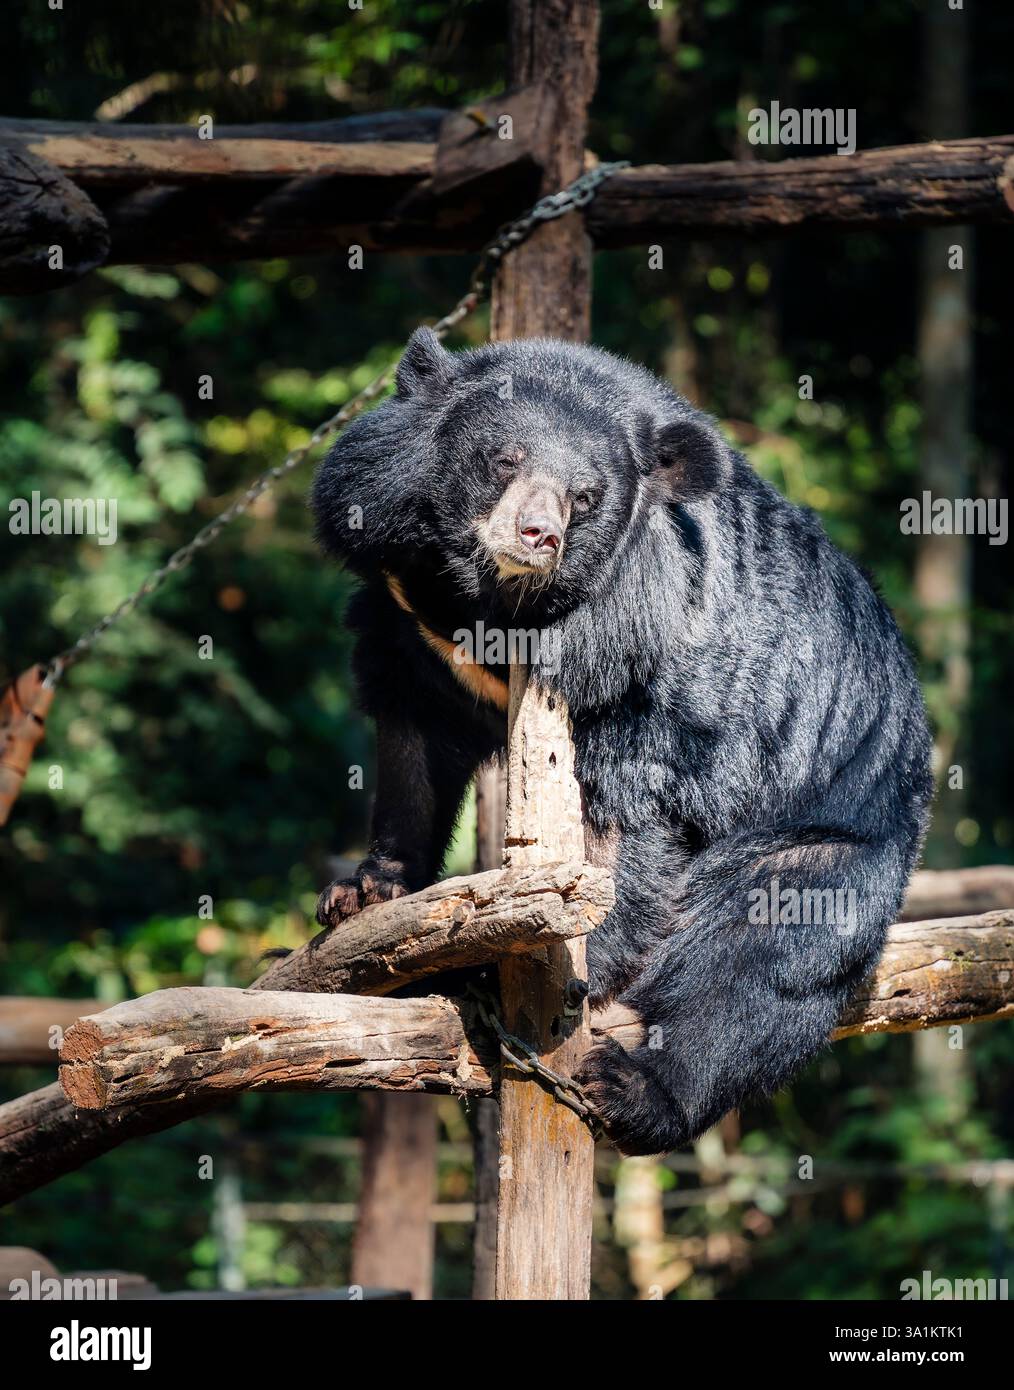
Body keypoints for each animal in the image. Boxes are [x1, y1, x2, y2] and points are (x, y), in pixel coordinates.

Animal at [310, 326, 933, 1156]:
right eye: (503, 460)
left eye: (585, 496)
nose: (536, 535)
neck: (493, 606)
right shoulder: (408, 610)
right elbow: (413, 751)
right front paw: (368, 891)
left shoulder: (642, 645)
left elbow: (621, 820)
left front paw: (562, 956)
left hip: (832, 825)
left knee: (768, 952)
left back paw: (636, 1090)